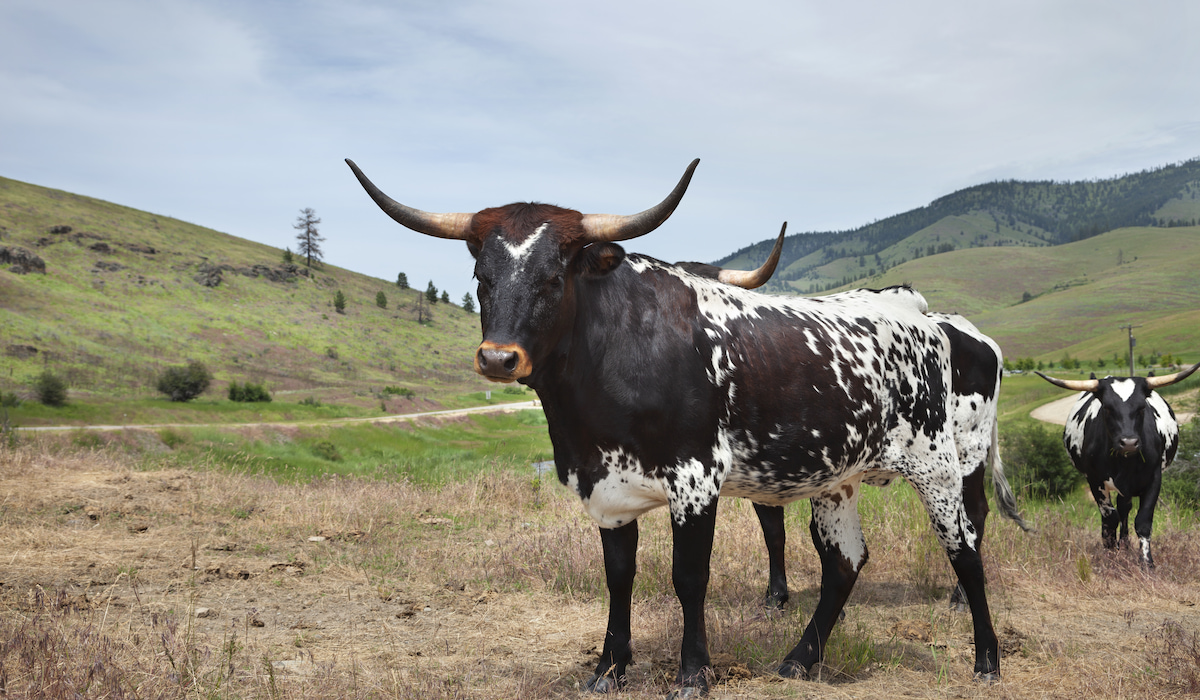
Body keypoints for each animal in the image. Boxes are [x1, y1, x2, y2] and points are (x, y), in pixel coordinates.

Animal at [347, 157, 1013, 694]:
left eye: (554, 277)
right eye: (482, 279)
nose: (497, 359)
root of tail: (919, 316)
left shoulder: (696, 480)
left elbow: (689, 577)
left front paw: (693, 673)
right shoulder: (607, 489)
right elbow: (619, 578)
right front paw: (609, 669)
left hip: (939, 465)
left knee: (964, 547)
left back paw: (986, 659)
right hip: (836, 480)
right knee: (845, 562)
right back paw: (800, 659)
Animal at [1036, 362, 1200, 567]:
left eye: (1141, 407)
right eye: (1107, 408)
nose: (1129, 442)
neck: (1125, 462)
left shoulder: (1154, 478)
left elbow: (1143, 521)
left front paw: (1147, 564)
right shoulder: (1094, 480)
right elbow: (1110, 518)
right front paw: (1110, 555)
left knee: (1124, 508)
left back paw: (1126, 544)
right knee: (1115, 513)